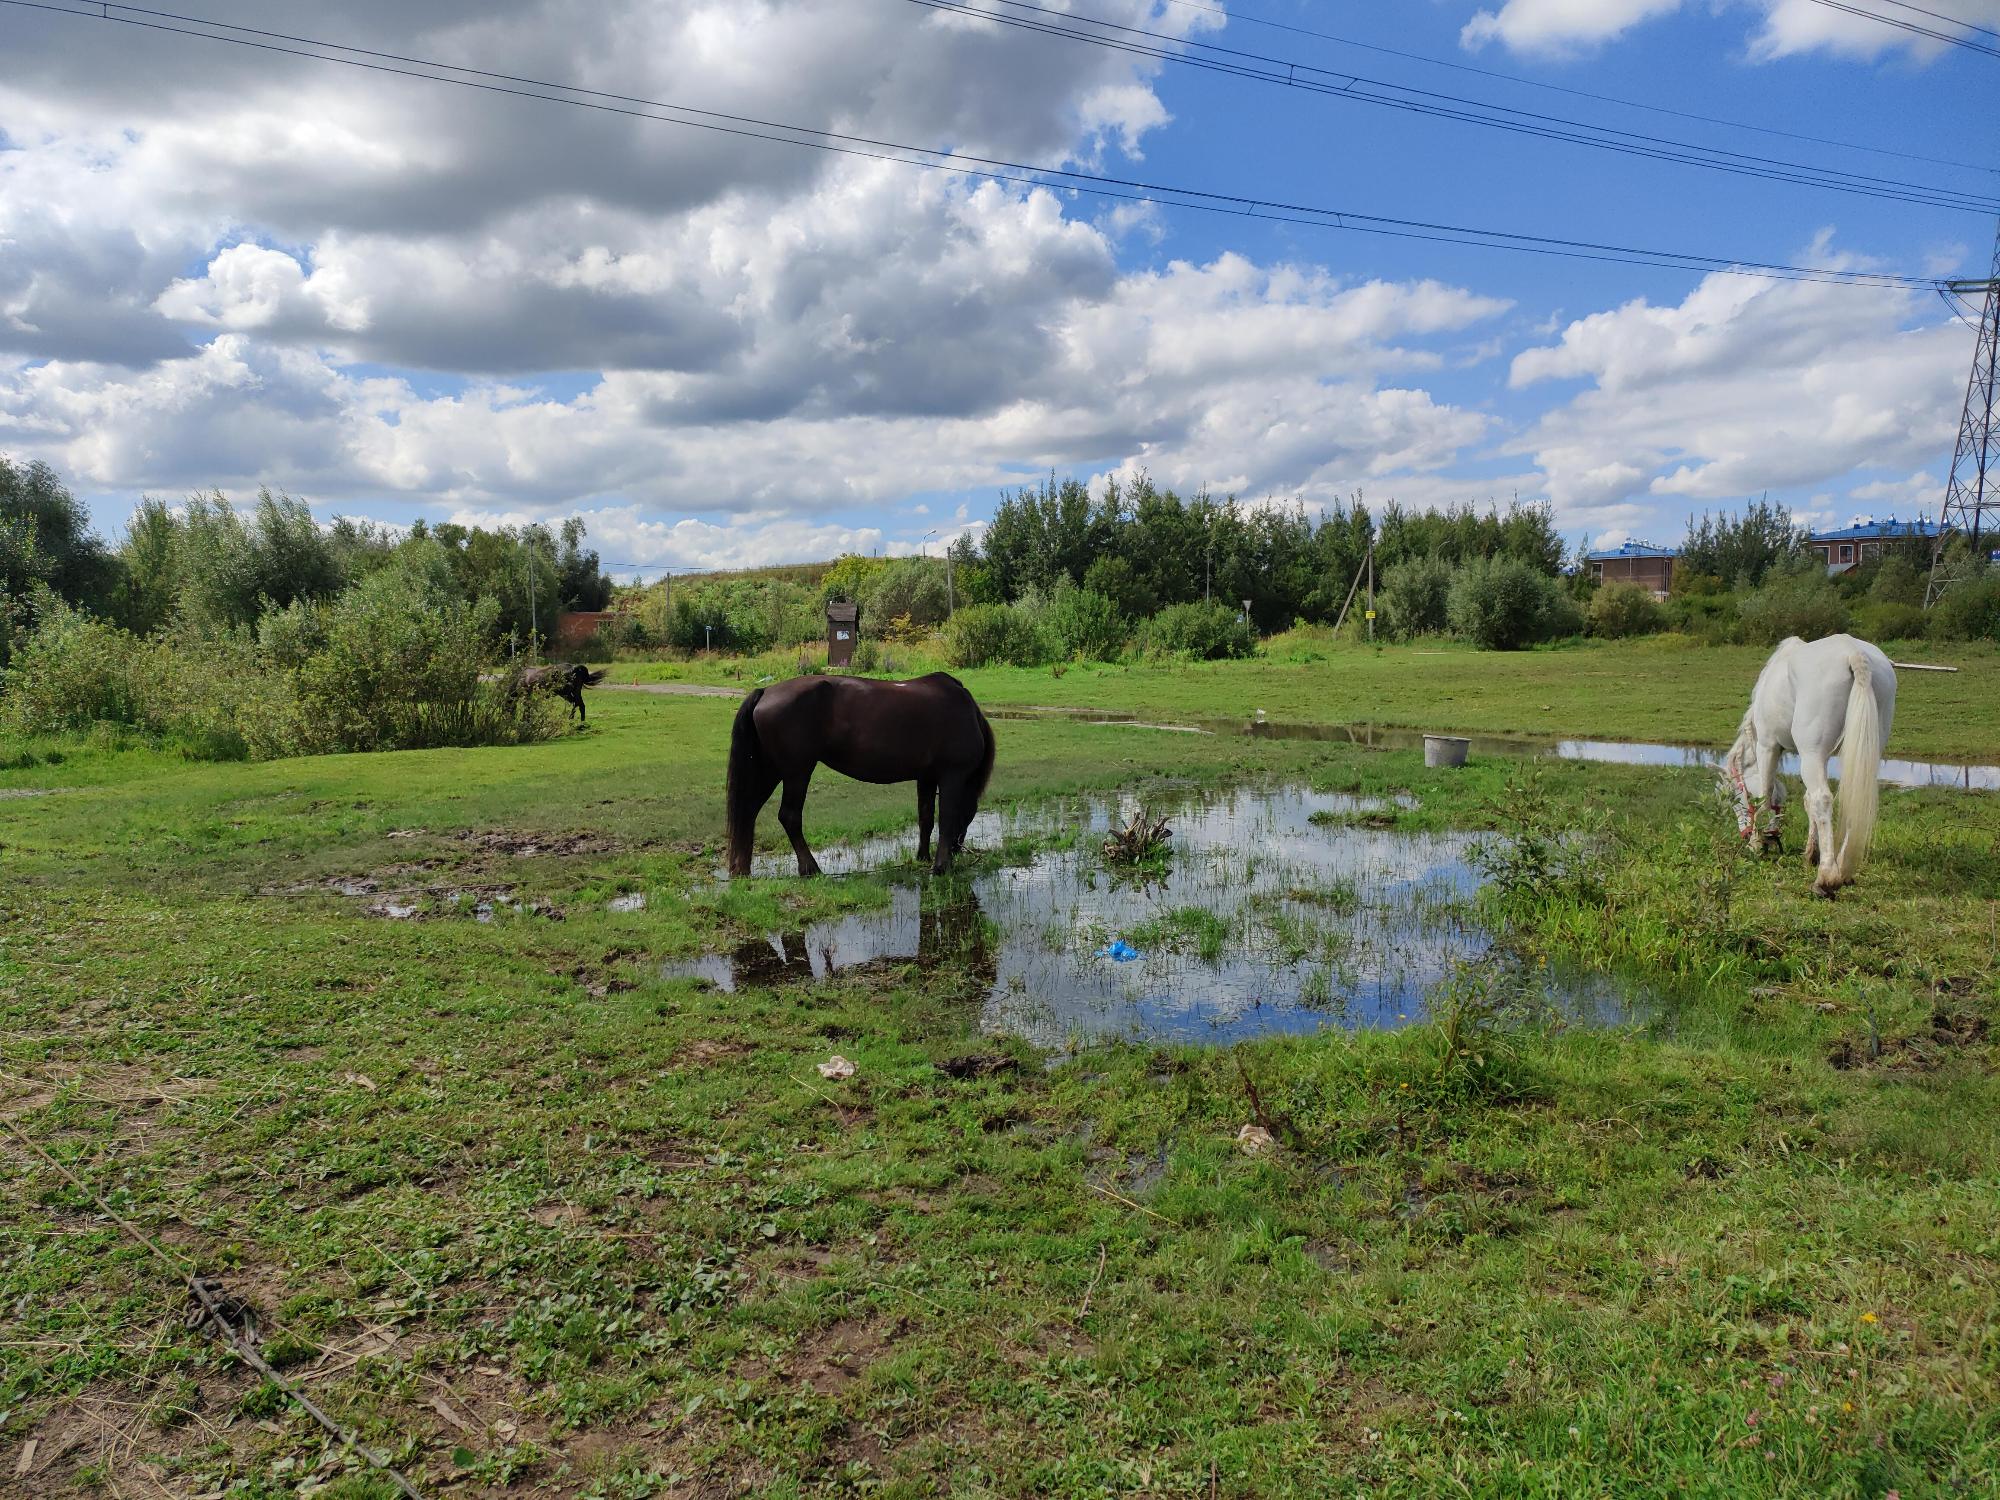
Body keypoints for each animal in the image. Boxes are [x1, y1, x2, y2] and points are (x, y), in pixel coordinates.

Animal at [726, 673, 996, 878]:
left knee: (748, 811)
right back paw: (810, 868)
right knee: (789, 816)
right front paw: (941, 866)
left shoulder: (927, 777)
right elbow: (947, 818)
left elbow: (926, 817)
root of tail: (766, 691)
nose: (957, 849)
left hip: (771, 771)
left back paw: (742, 869)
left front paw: (922, 857)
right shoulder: (952, 776)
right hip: (797, 772)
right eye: (971, 814)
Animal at [1721, 634, 1895, 897]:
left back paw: (1826, 878)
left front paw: (1759, 842)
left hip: (1811, 752)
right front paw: (1810, 853)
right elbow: (1806, 800)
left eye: (1734, 797)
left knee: (1822, 798)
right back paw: (1843, 870)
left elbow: (1765, 797)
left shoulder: (1768, 746)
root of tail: (1854, 653)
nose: (1744, 835)